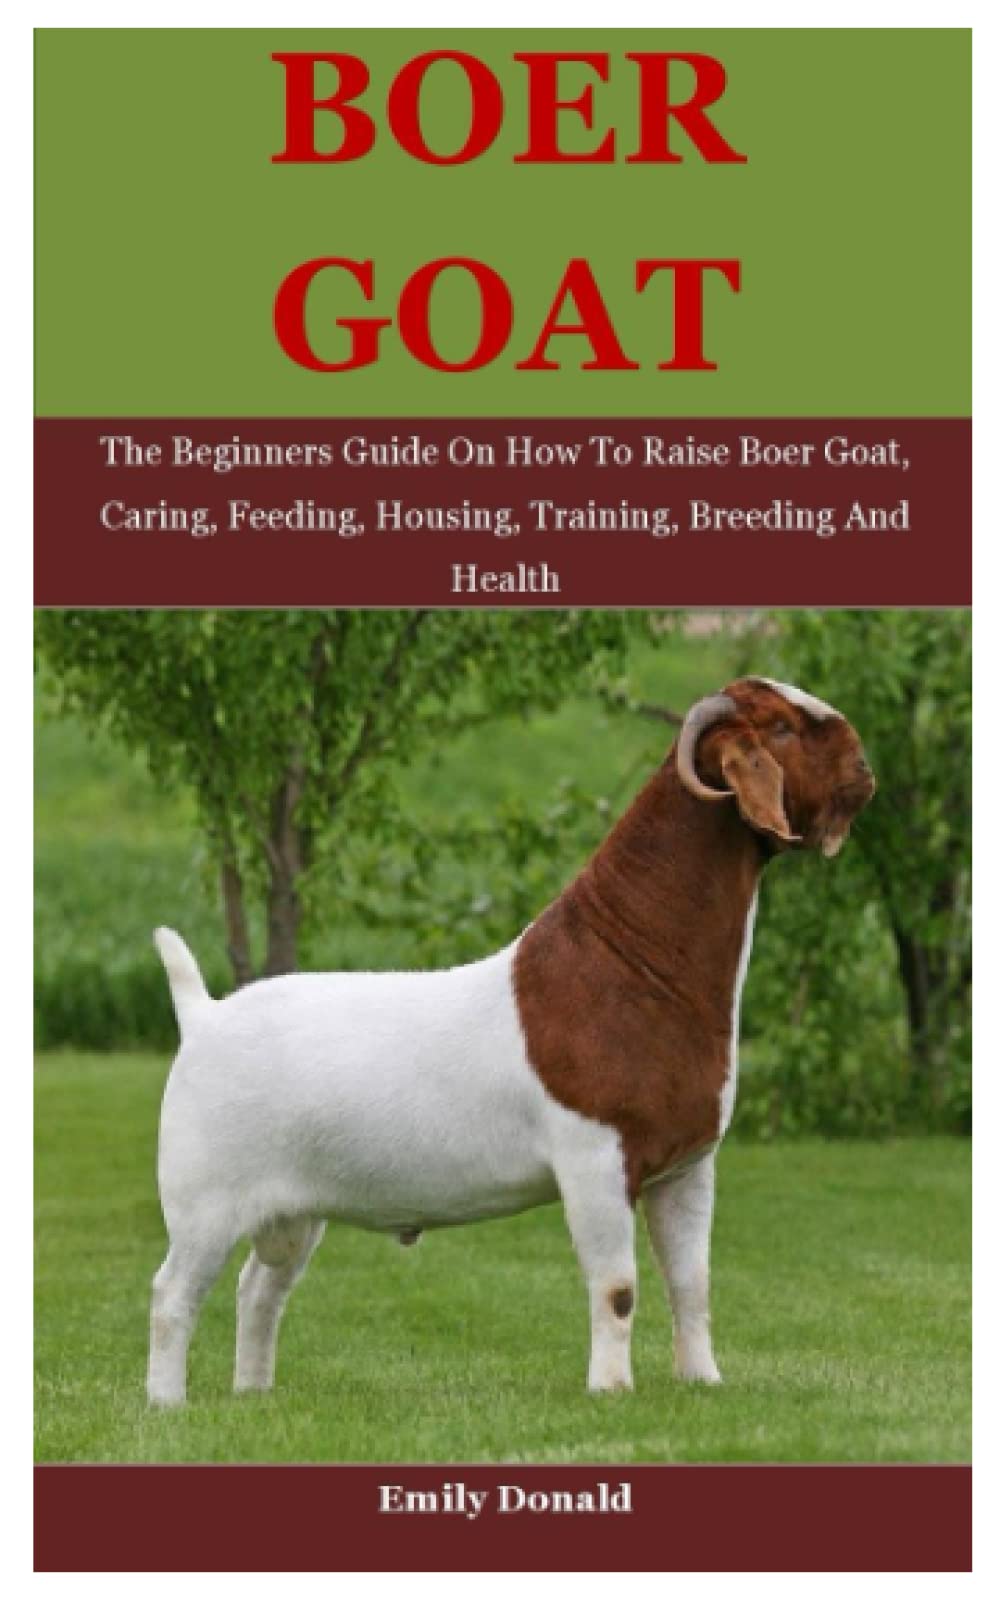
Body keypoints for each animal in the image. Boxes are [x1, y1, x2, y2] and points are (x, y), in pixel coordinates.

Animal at [147, 676, 875, 1407]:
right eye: (781, 729)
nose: (864, 767)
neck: (632, 965)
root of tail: (203, 1014)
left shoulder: (687, 1167)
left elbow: (692, 1284)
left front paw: (702, 1380)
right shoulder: (595, 1159)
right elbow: (617, 1288)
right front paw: (611, 1389)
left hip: (294, 1211)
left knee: (258, 1290)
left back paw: (254, 1393)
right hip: (203, 1199)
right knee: (172, 1295)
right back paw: (167, 1403)